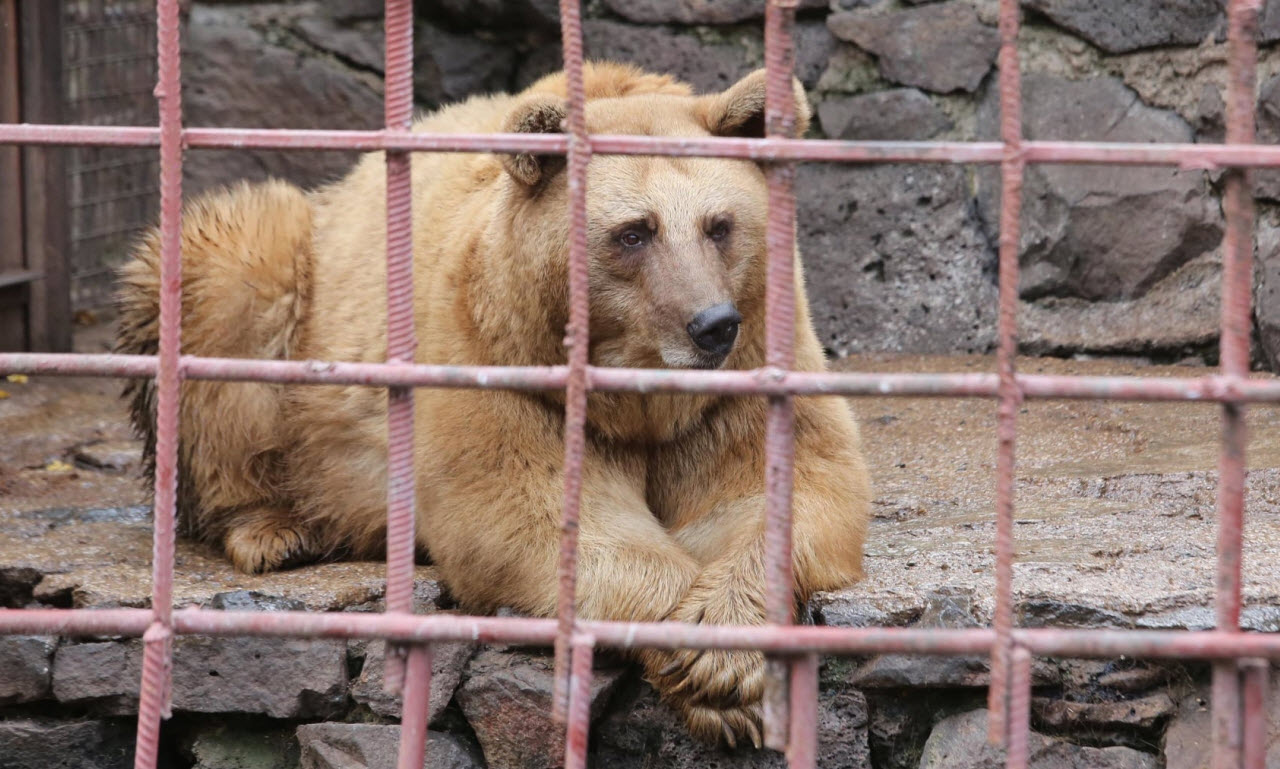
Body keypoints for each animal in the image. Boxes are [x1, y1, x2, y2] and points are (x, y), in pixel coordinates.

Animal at [114, 62, 871, 747]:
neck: (636, 389)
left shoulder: (752, 366)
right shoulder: (496, 356)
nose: (711, 323)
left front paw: (722, 655)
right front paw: (703, 668)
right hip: (291, 286)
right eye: (634, 230)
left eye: (720, 224)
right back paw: (273, 528)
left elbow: (779, 487)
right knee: (224, 276)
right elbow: (524, 510)